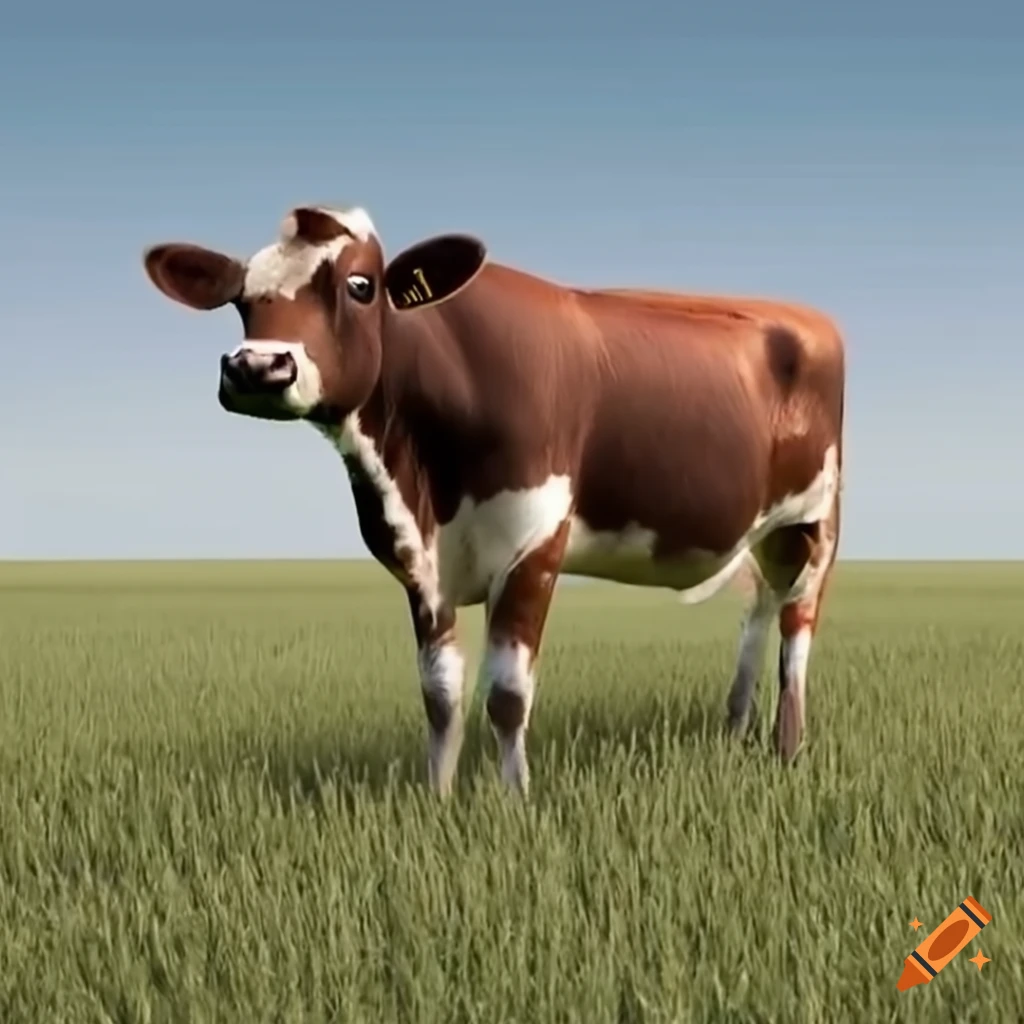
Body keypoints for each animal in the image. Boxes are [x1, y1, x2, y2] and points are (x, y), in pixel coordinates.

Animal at [141, 204, 845, 797]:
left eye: (360, 285)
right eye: (241, 299)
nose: (258, 369)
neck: (421, 477)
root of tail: (805, 315)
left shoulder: (534, 542)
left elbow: (507, 694)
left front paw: (514, 802)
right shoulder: (419, 562)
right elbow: (440, 692)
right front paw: (438, 799)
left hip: (816, 520)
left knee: (797, 624)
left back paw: (787, 748)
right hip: (764, 531)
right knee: (760, 607)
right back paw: (735, 727)